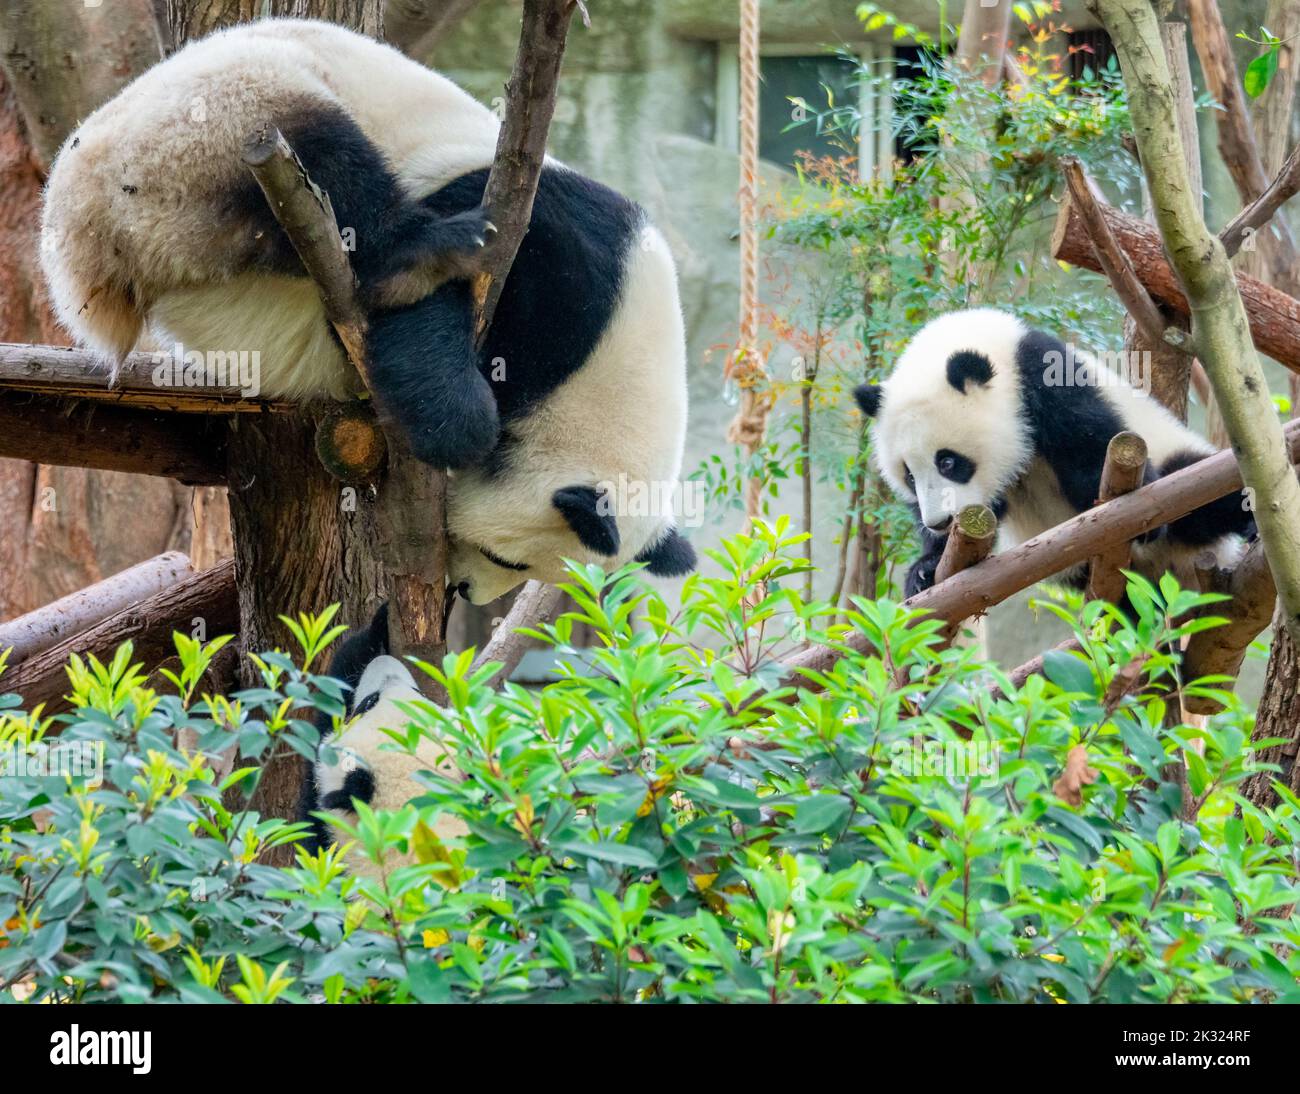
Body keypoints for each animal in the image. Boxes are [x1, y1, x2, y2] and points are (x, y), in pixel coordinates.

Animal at [40, 18, 696, 605]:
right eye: (507, 559)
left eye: (520, 573)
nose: (464, 591)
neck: (614, 363)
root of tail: (83, 250)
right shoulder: (548, 252)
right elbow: (427, 323)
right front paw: (462, 424)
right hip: (193, 134)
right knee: (327, 152)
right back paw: (418, 253)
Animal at [855, 308, 1253, 598]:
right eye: (909, 475)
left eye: (948, 461)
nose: (940, 522)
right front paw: (925, 569)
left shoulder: (1043, 375)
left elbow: (1090, 442)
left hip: (1184, 465)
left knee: (1201, 487)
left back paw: (1248, 526)